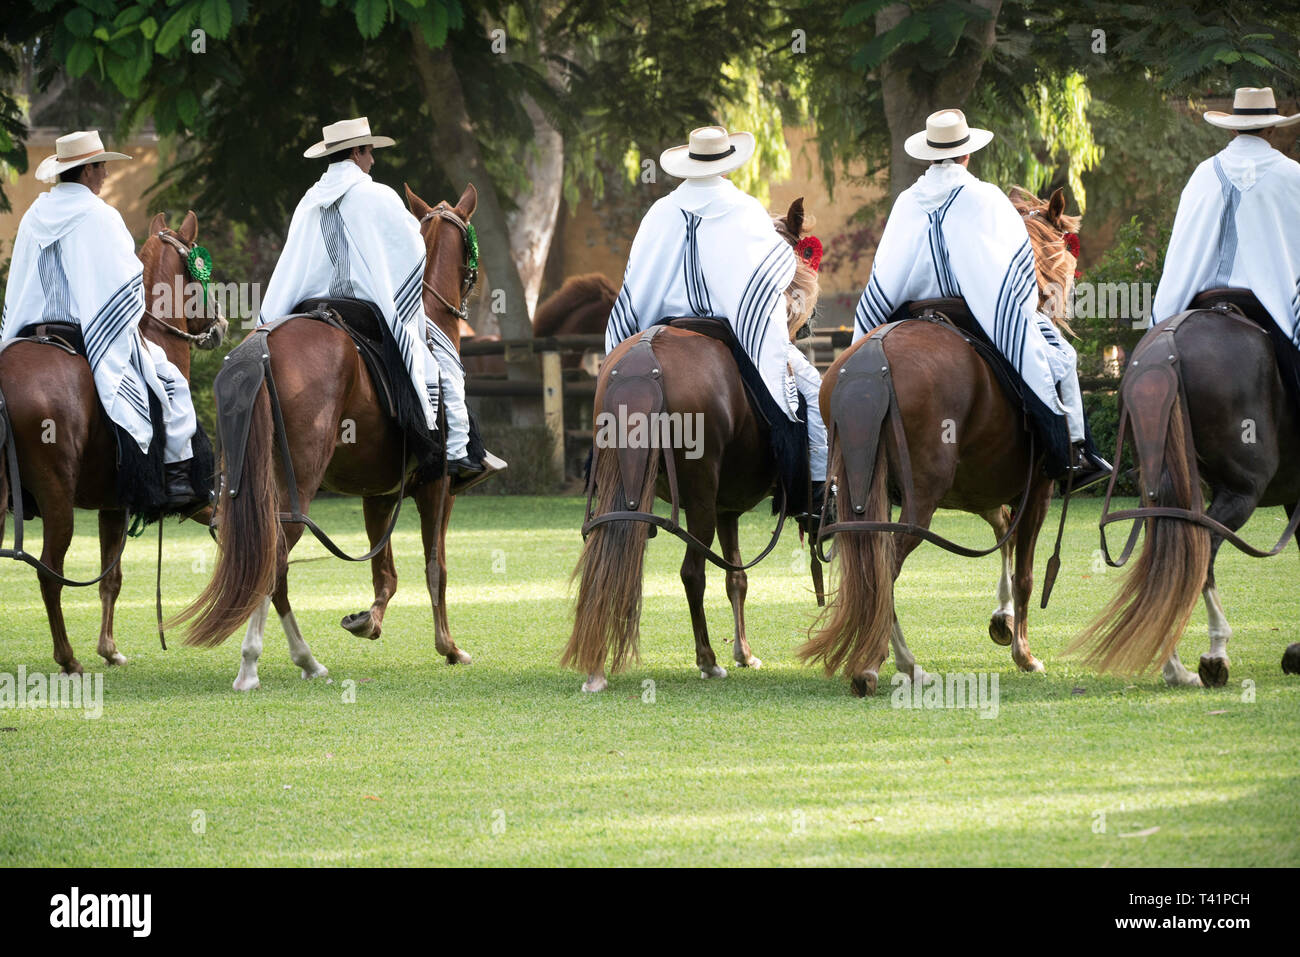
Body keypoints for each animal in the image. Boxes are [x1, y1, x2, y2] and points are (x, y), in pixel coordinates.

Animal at [0, 211, 225, 674]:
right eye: (201, 275)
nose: (221, 326)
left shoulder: (111, 503)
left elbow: (112, 578)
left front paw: (108, 647)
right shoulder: (192, 496)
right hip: (57, 499)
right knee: (49, 572)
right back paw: (67, 658)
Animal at [174, 185, 480, 690]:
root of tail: (262, 347)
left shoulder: (380, 493)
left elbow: (384, 572)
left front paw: (368, 620)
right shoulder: (438, 486)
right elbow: (436, 566)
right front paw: (449, 647)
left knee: (266, 558)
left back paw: (301, 659)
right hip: (298, 484)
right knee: (274, 557)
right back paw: (262, 662)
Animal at [562, 198, 820, 693]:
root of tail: (645, 357)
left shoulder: (727, 509)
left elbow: (736, 578)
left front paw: (745, 651)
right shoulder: (717, 505)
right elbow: (725, 574)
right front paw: (734, 653)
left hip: (624, 489)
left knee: (605, 558)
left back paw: (597, 665)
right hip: (697, 498)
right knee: (691, 572)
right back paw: (707, 659)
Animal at [800, 187, 1081, 696]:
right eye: (1068, 254)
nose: (1062, 311)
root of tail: (871, 361)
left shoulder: (981, 490)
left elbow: (1002, 533)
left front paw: (1002, 619)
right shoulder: (1039, 487)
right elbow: (1026, 569)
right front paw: (1023, 651)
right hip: (920, 502)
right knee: (887, 566)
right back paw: (888, 663)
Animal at [1069, 291, 1300, 686]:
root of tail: (1165, 349)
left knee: (1170, 562)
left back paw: (1174, 666)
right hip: (1239, 492)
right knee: (1201, 555)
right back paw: (1214, 653)